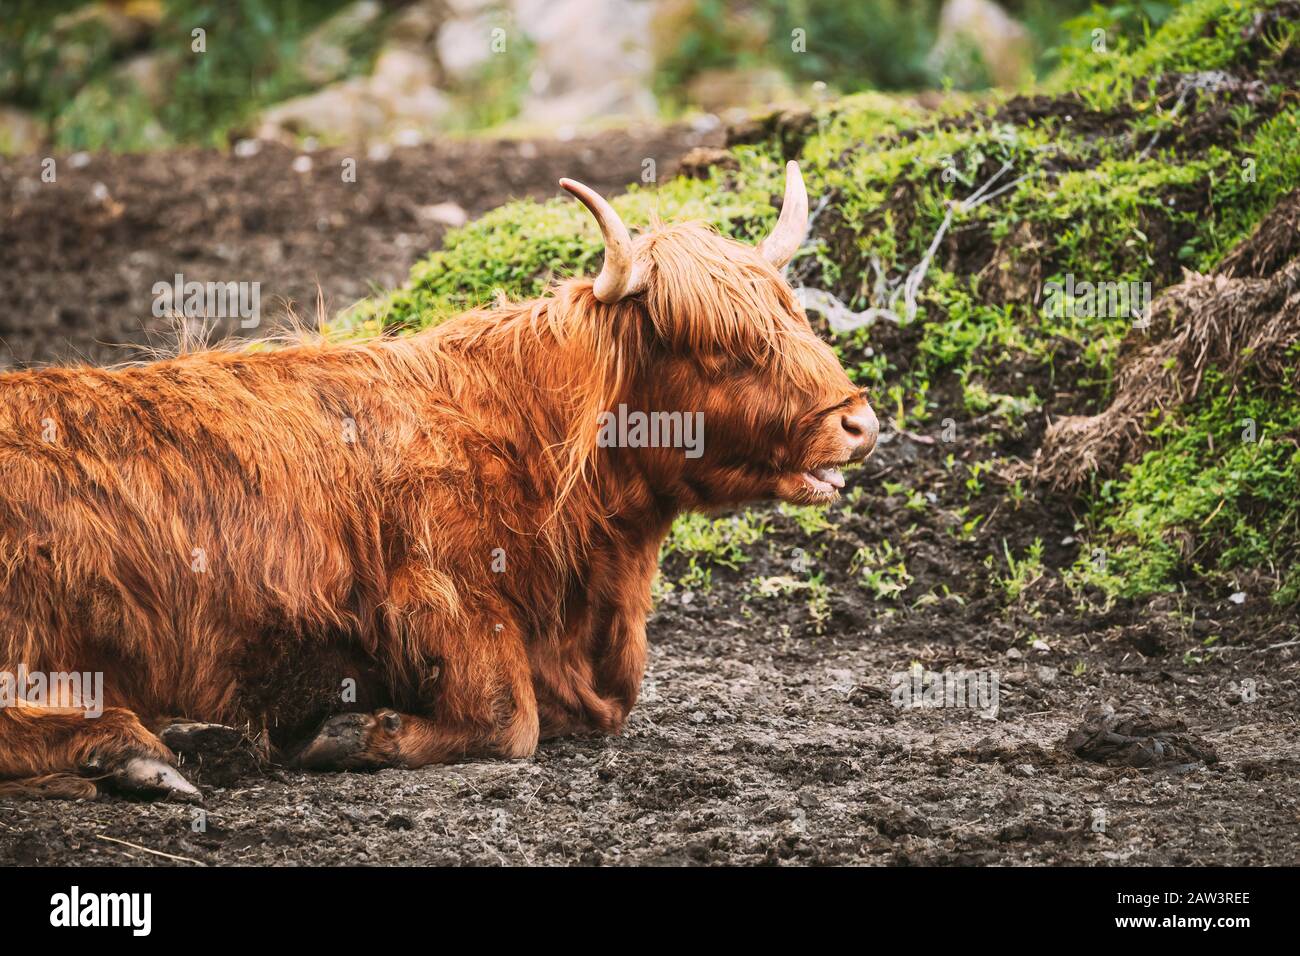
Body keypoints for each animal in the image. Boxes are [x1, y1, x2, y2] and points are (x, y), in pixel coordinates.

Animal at [0, 161, 877, 801]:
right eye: (723, 347)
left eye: (793, 315)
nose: (859, 423)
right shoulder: (439, 595)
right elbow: (509, 719)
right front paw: (350, 733)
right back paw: (131, 752)